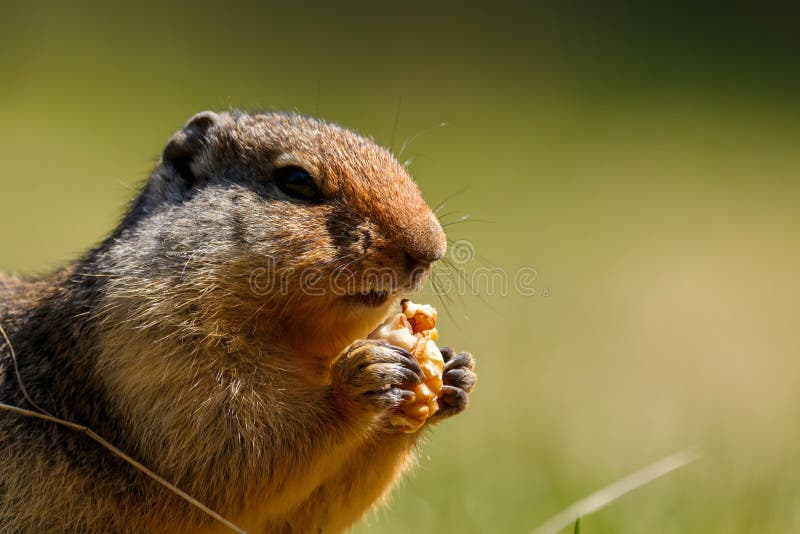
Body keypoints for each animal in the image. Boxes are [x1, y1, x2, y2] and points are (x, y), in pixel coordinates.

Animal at [0, 111, 477, 533]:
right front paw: (359, 378)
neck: (293, 341)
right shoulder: (148, 345)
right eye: (296, 181)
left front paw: (454, 374)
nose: (430, 248)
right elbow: (236, 445)